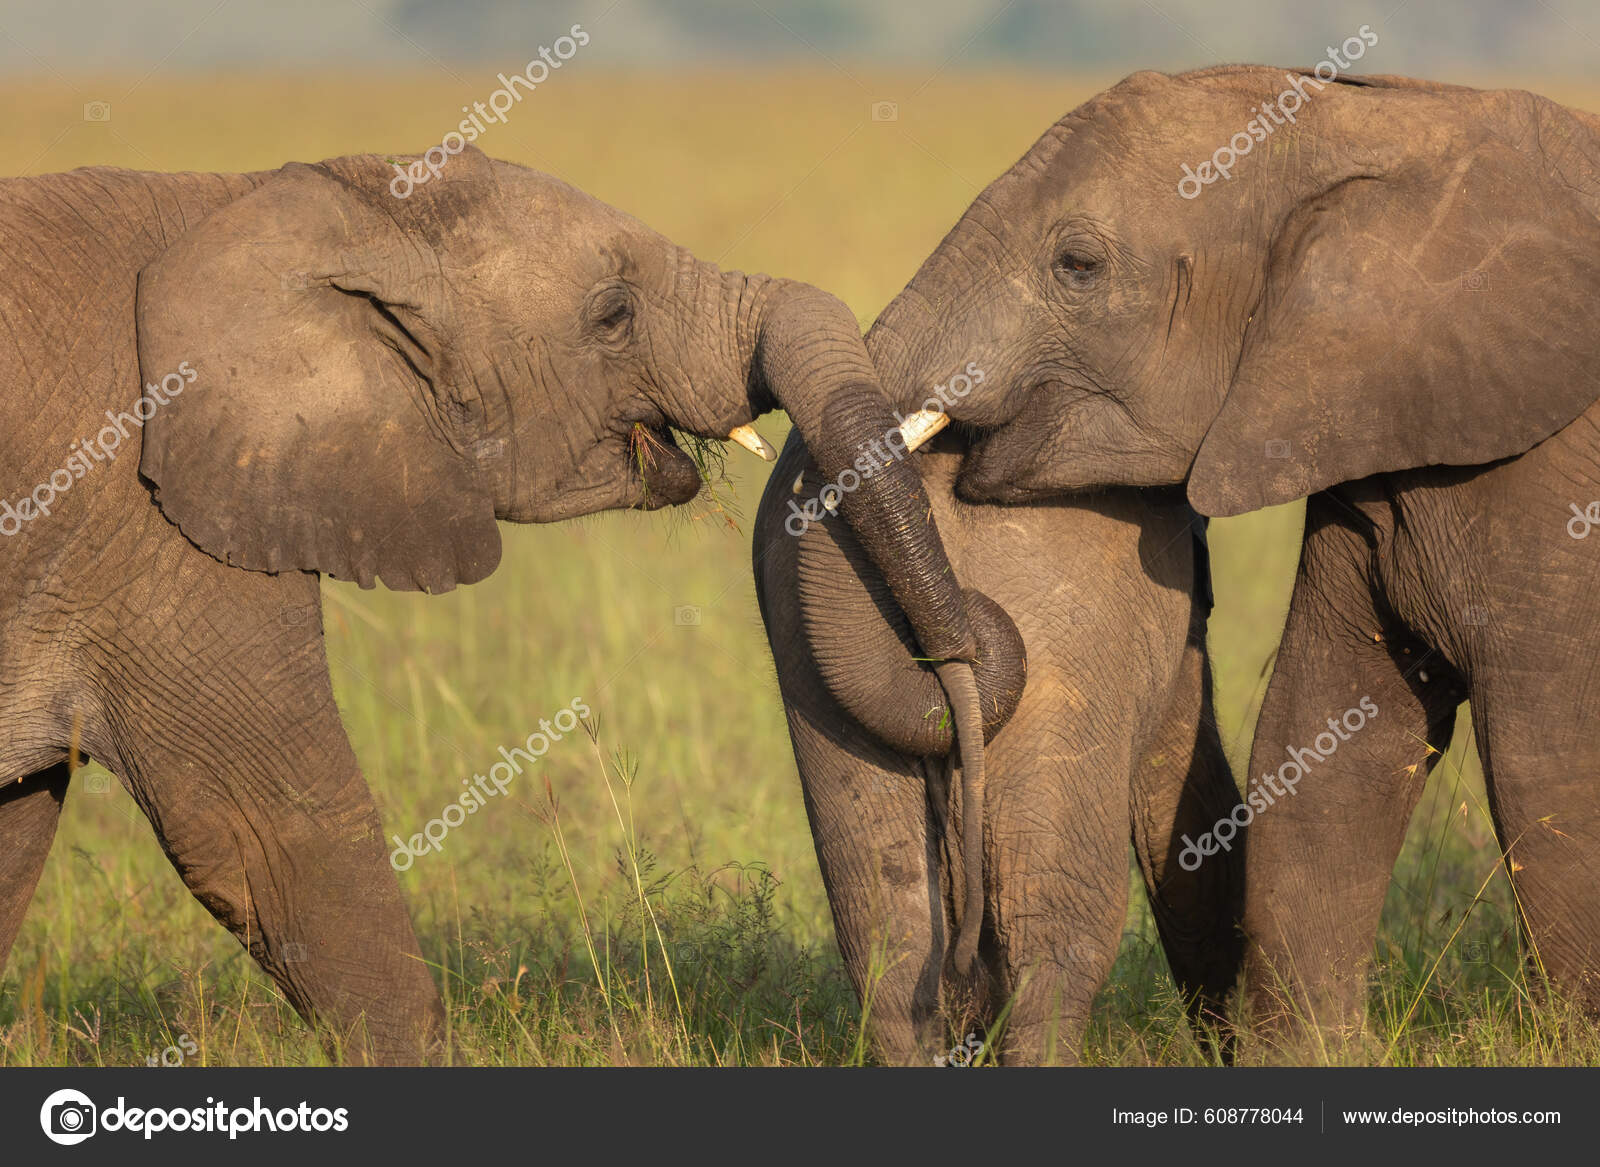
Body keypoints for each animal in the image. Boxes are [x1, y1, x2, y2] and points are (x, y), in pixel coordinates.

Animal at [0, 146, 1023, 1063]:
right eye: (612, 314)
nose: (963, 1001)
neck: (284, 198)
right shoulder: (147, 527)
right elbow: (265, 825)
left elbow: (19, 831)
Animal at [857, 64, 1600, 1054]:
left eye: (1078, 265)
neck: (1370, 121)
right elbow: (1327, 730)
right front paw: (1315, 1055)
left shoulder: (1551, 483)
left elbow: (1544, 754)